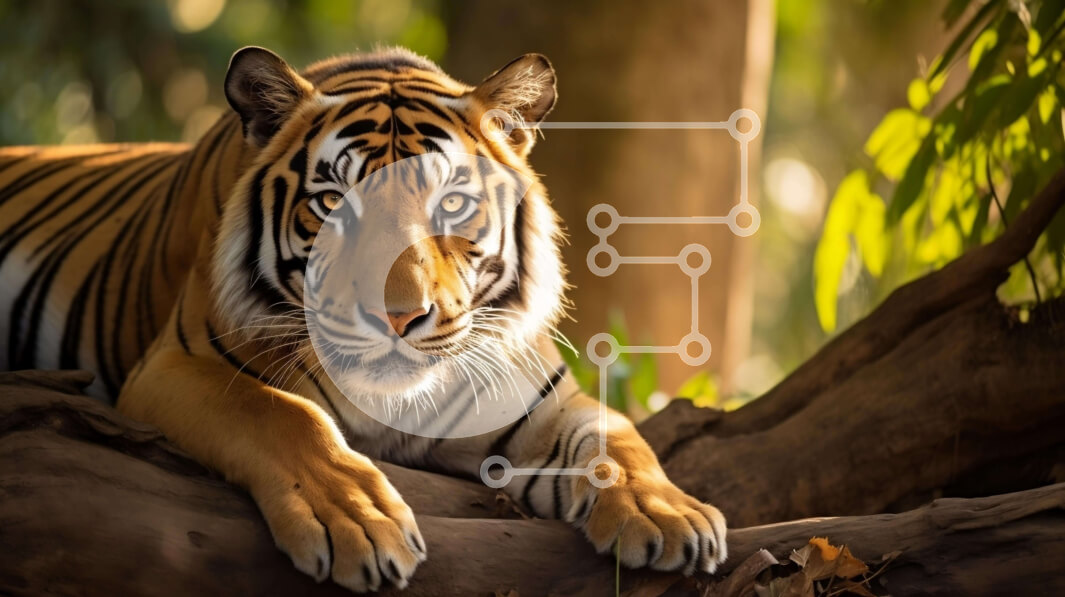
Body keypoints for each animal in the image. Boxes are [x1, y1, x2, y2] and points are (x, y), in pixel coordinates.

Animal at [0, 46, 726, 592]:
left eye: (451, 203)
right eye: (333, 204)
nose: (398, 315)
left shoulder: (542, 399)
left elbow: (619, 435)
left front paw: (671, 514)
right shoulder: (181, 363)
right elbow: (283, 414)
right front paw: (357, 522)